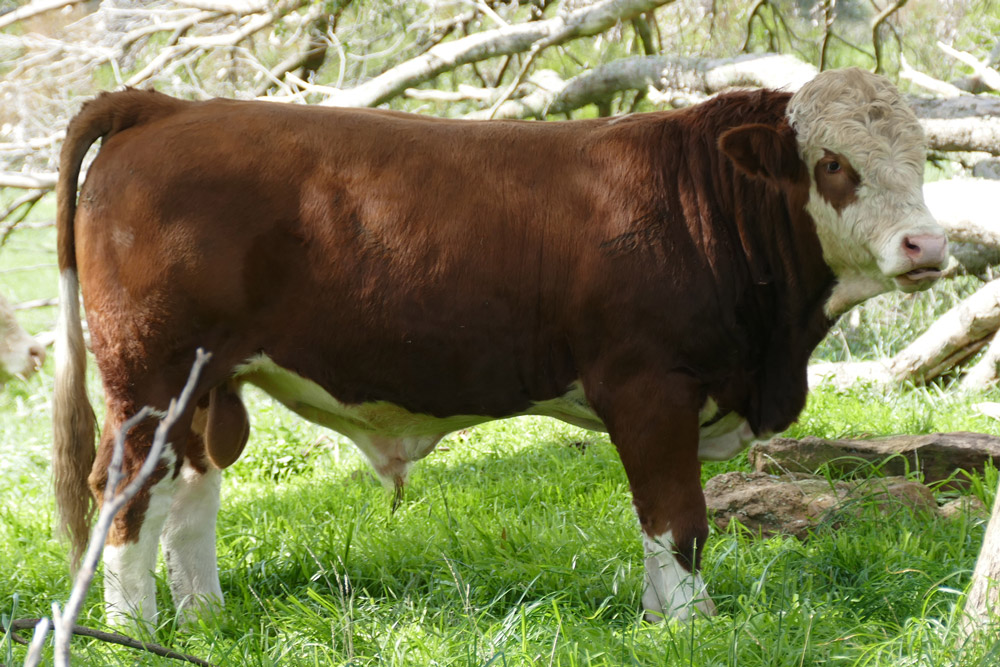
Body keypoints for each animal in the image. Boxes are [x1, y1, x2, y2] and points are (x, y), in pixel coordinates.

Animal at [52, 67, 948, 628]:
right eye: (832, 164)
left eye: (922, 158)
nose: (927, 245)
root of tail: (165, 107)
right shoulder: (649, 388)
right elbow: (678, 519)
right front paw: (691, 626)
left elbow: (665, 524)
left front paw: (661, 615)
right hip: (148, 372)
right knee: (126, 490)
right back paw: (138, 630)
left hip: (206, 381)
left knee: (190, 491)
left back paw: (206, 618)